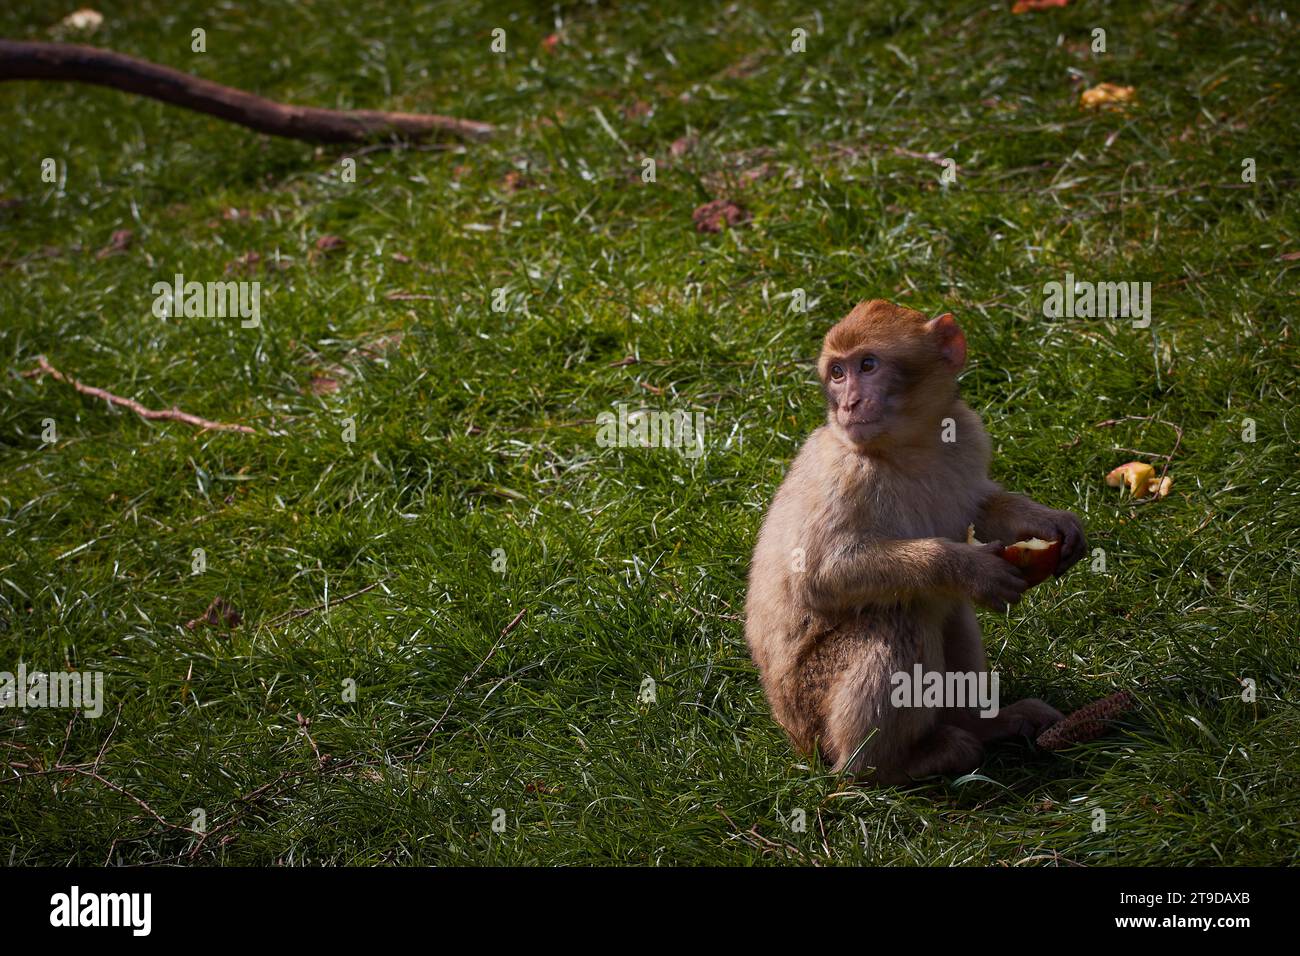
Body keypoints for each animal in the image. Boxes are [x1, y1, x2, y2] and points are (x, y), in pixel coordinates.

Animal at [743, 299, 1086, 785]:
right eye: (837, 373)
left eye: (867, 365)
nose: (848, 403)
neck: (910, 447)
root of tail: (791, 733)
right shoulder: (845, 474)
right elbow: (819, 576)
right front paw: (969, 567)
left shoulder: (968, 435)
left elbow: (980, 507)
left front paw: (1049, 521)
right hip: (811, 705)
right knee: (902, 613)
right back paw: (886, 767)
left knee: (947, 609)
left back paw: (980, 724)